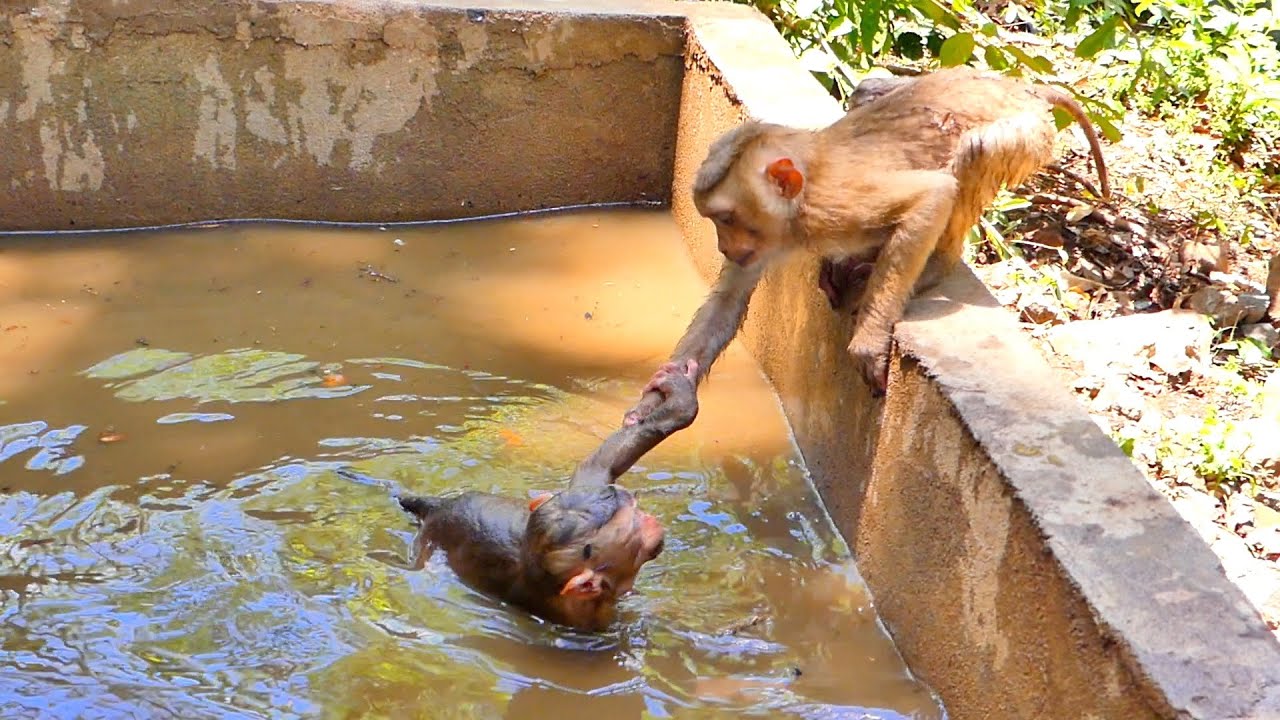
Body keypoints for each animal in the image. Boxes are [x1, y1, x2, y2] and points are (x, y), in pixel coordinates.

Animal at [351, 359, 699, 632]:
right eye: (632, 526)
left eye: (615, 500)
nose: (619, 496)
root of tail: (435, 506)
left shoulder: (582, 485)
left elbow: (600, 462)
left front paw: (676, 393)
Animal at [623, 66, 1110, 419]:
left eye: (726, 219)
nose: (725, 245)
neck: (799, 208)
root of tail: (1022, 90)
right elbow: (726, 304)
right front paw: (670, 383)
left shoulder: (833, 209)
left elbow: (932, 196)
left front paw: (869, 342)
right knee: (869, 87)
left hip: (1025, 134)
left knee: (977, 150)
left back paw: (935, 264)